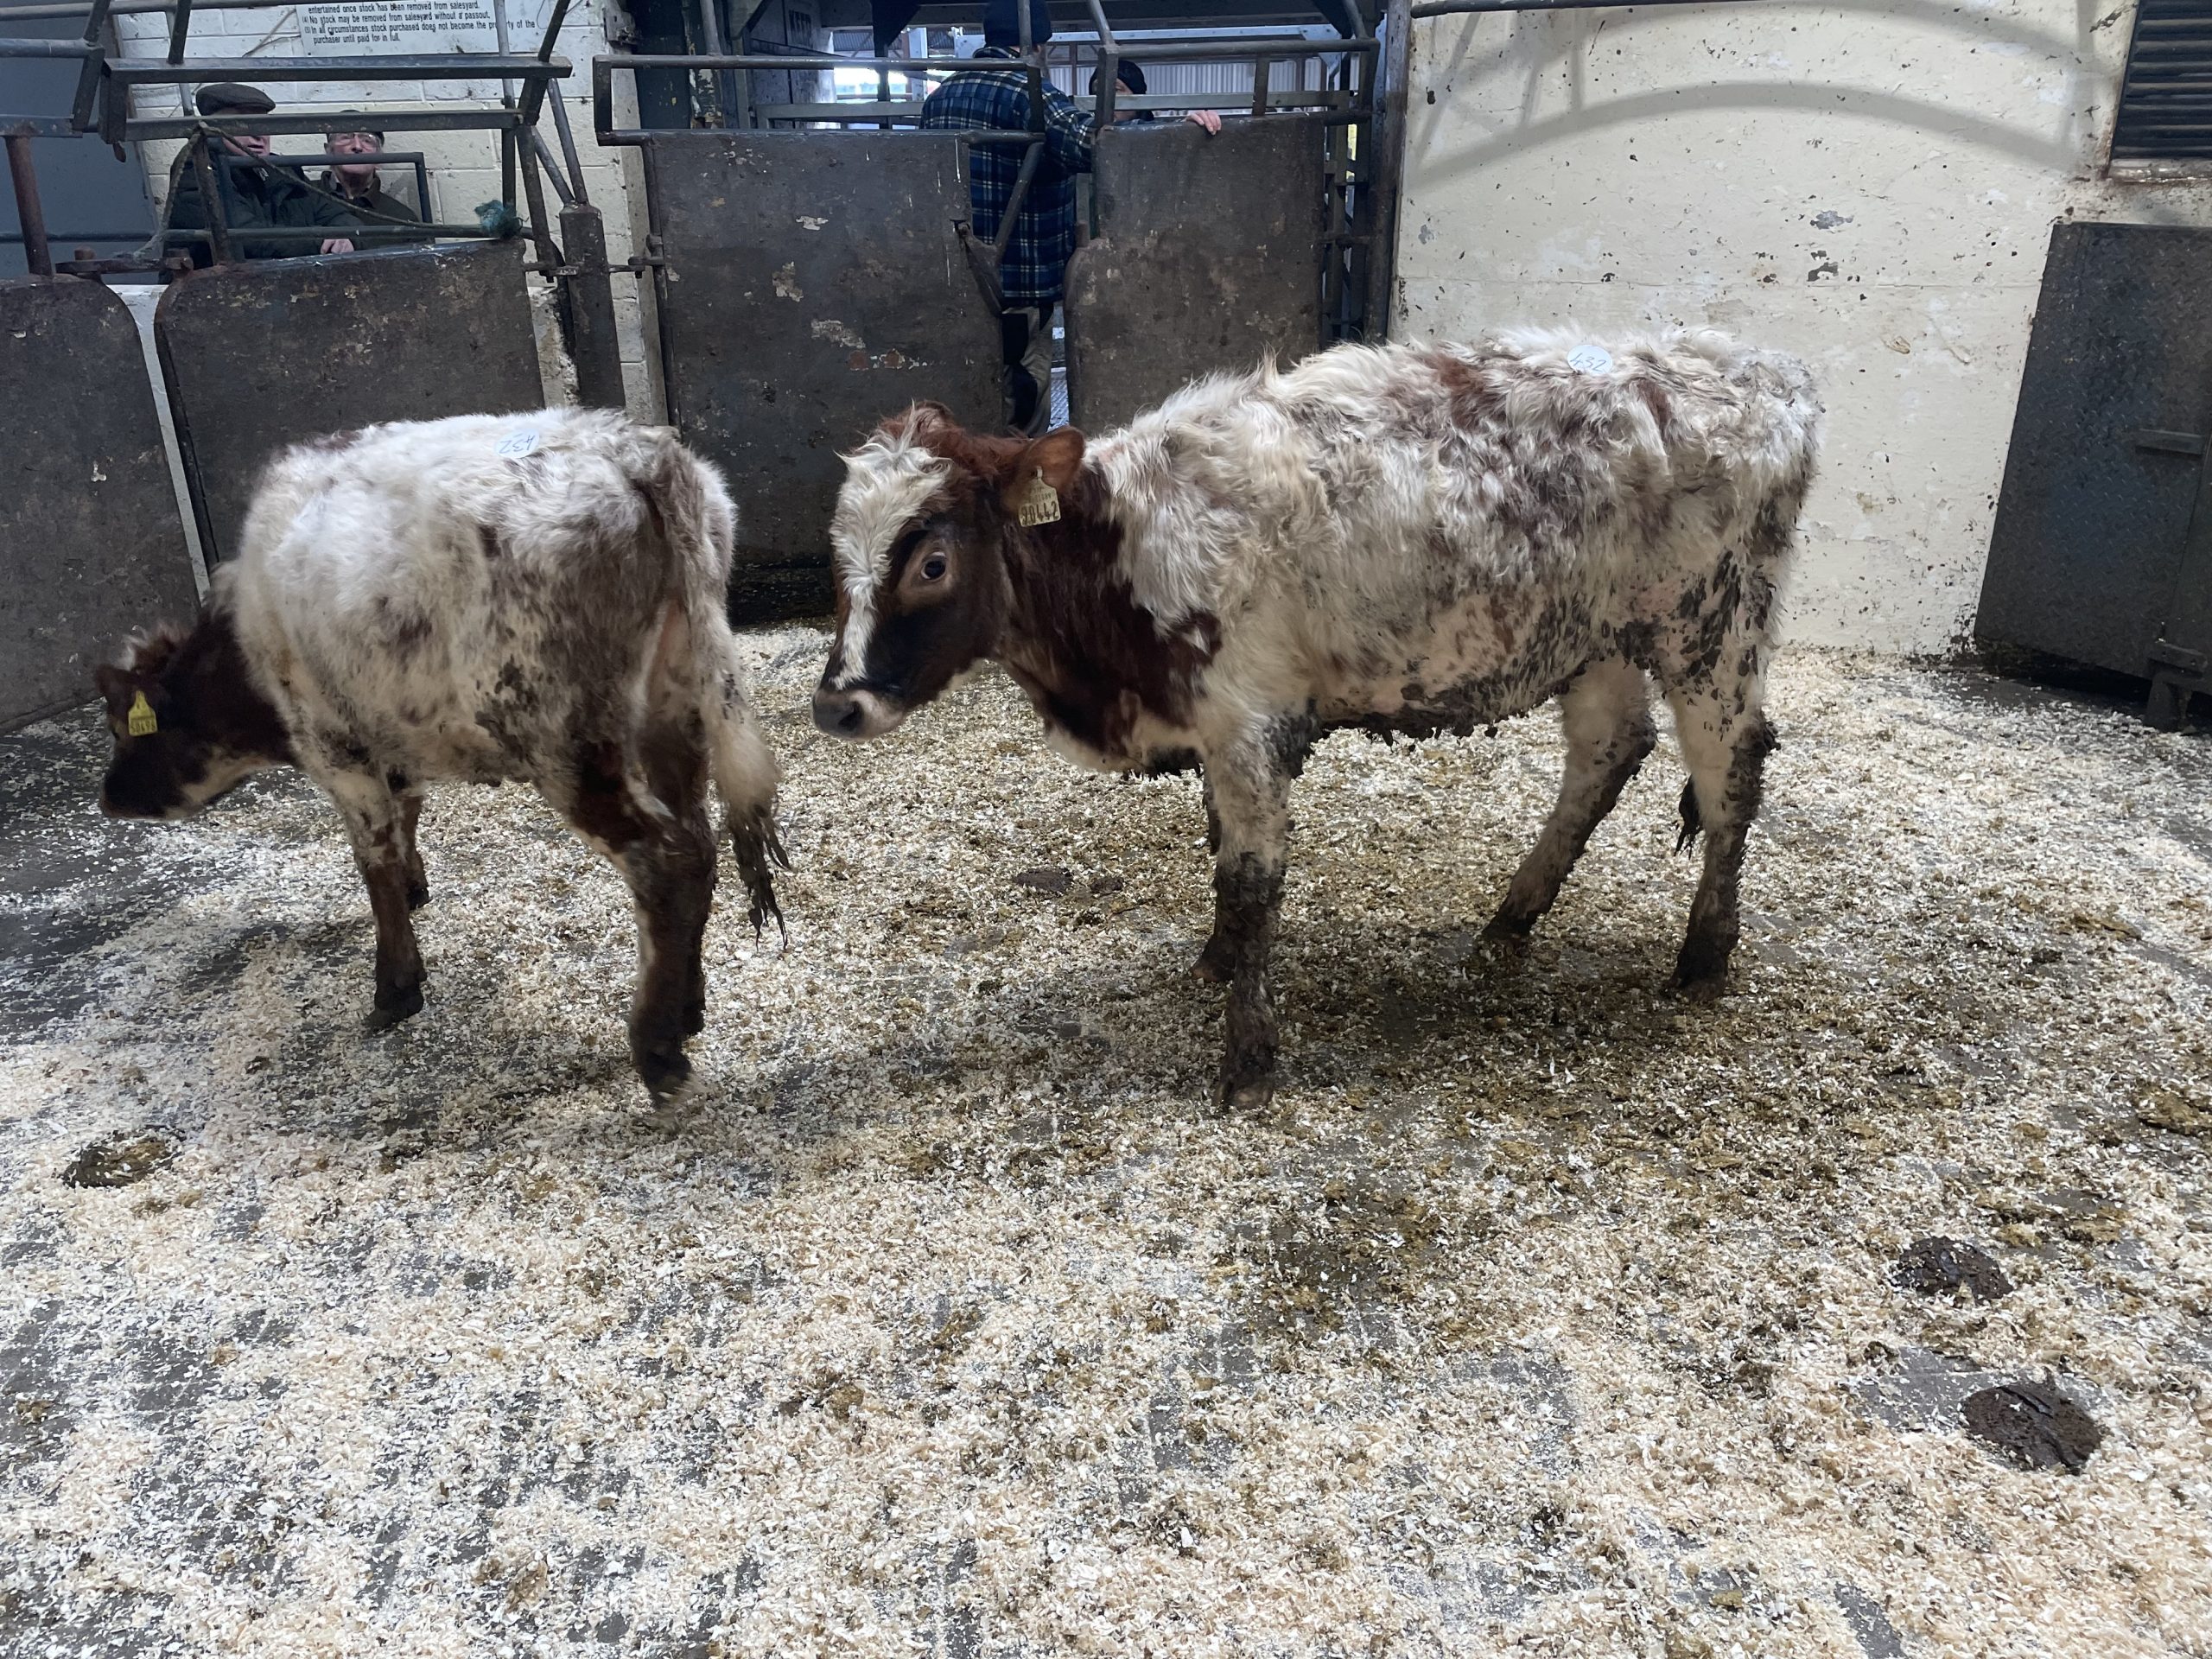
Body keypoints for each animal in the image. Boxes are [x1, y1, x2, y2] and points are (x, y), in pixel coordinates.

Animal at [95, 409, 785, 1097]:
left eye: (125, 728)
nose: (108, 798)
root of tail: (634, 449)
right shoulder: (392, 743)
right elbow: (404, 825)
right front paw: (414, 890)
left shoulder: (334, 746)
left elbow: (373, 858)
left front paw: (396, 985)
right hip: (675, 711)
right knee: (701, 846)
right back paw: (688, 1007)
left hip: (566, 745)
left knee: (666, 862)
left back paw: (655, 1045)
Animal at [811, 329, 1822, 1110]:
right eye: (836, 558)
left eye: (932, 562)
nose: (835, 703)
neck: (1125, 554)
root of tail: (1759, 369)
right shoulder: (1216, 733)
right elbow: (1222, 863)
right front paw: (1216, 960)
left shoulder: (1251, 725)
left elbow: (1255, 879)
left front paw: (1250, 1059)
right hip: (1595, 637)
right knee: (1609, 750)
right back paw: (1511, 921)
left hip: (1715, 631)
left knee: (1730, 776)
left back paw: (1703, 959)